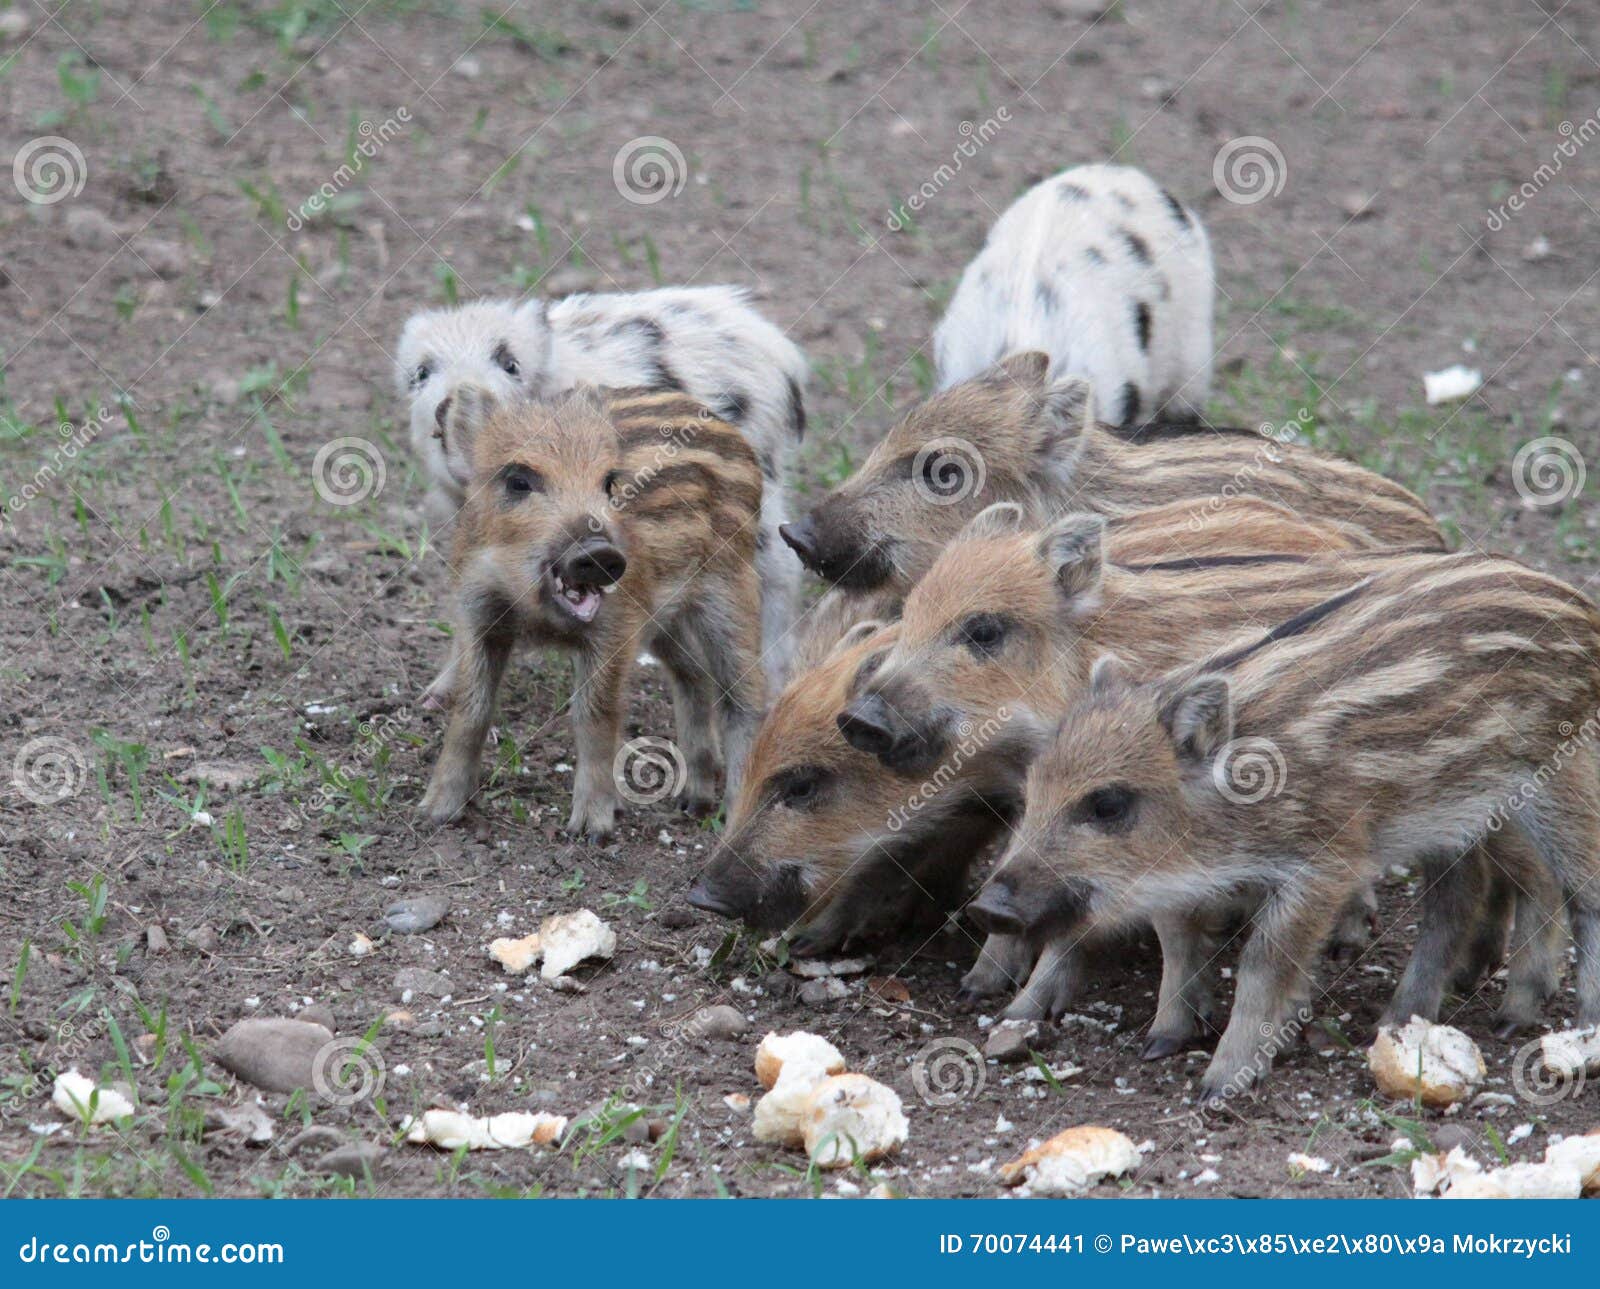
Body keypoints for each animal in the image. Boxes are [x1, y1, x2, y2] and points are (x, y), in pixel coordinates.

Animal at [419, 387, 765, 840]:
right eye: (518, 481)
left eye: (608, 483)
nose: (600, 553)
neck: (535, 610)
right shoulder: (478, 614)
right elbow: (471, 708)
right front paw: (436, 812)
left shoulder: (615, 627)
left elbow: (594, 715)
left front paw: (591, 828)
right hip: (665, 616)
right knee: (693, 672)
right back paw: (693, 801)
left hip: (731, 587)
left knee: (746, 698)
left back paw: (731, 818)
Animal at [969, 553, 1600, 1101]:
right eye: (1033, 789)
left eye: (1106, 805)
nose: (987, 907)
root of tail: (1580, 607)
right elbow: (1177, 941)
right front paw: (1164, 1040)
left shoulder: (1326, 862)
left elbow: (1263, 965)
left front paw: (1218, 1085)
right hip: (1450, 813)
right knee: (1457, 902)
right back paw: (1402, 1021)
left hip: (1557, 779)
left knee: (1579, 888)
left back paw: (1556, 1027)